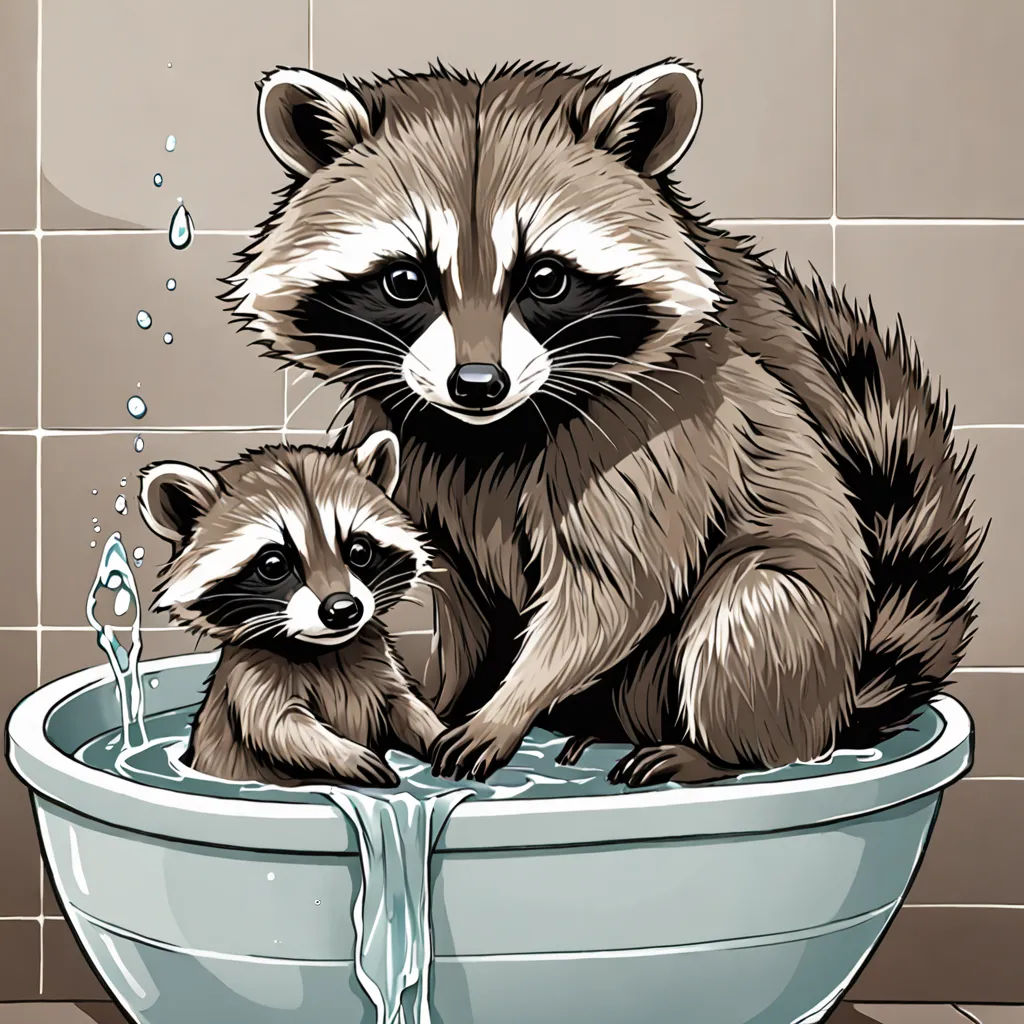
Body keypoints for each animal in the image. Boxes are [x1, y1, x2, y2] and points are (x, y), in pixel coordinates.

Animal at [137, 434, 444, 787]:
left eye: (359, 551)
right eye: (273, 564)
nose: (343, 609)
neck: (327, 651)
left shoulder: (379, 663)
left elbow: (404, 704)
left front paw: (439, 734)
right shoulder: (251, 675)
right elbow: (278, 726)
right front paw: (345, 754)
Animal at [223, 59, 984, 786]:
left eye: (546, 279)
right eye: (406, 281)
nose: (477, 384)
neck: (484, 432)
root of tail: (841, 700)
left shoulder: (648, 436)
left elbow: (609, 593)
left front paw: (507, 707)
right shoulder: (411, 444)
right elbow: (457, 588)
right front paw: (447, 695)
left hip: (796, 641)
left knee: (746, 618)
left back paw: (718, 752)